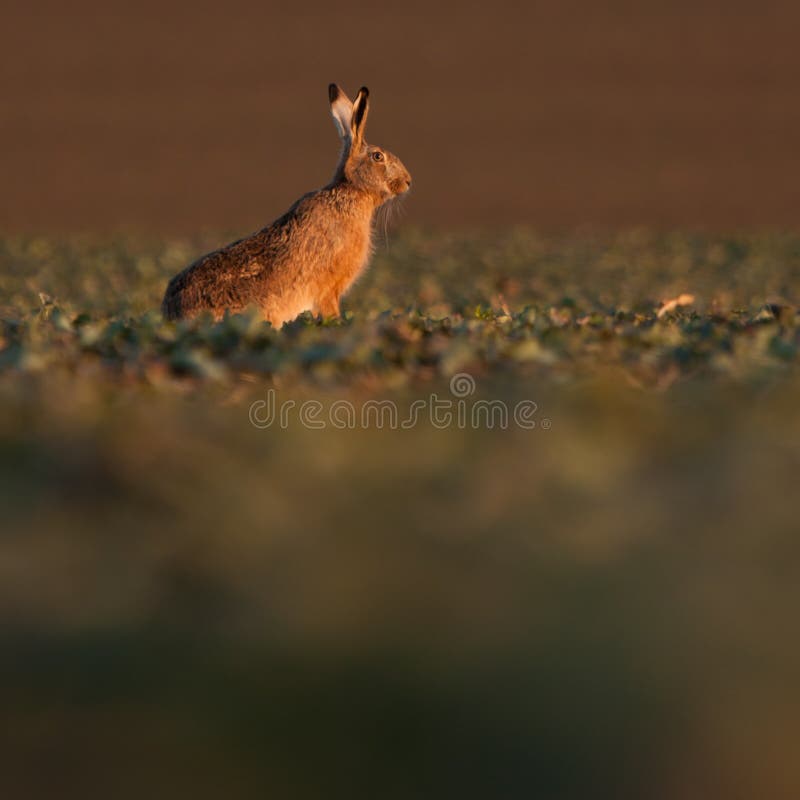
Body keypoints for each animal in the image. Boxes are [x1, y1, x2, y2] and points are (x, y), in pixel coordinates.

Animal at [162, 84, 412, 327]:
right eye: (378, 156)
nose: (408, 181)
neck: (351, 192)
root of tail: (171, 312)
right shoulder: (328, 290)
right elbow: (330, 312)